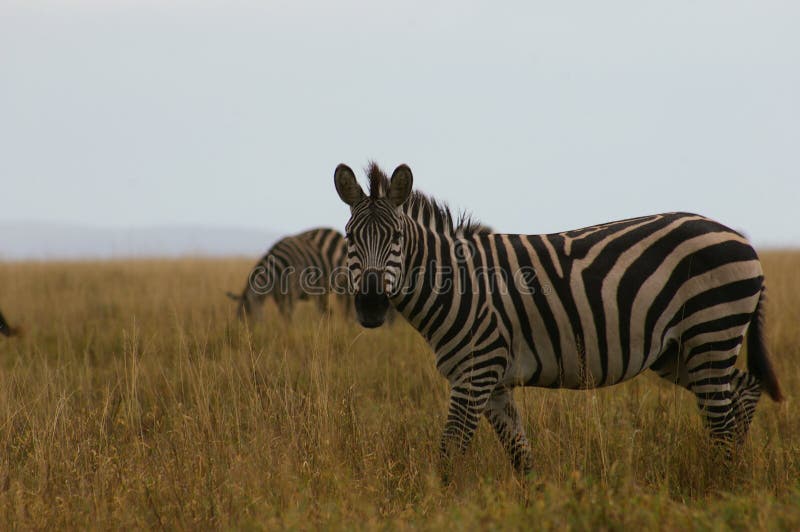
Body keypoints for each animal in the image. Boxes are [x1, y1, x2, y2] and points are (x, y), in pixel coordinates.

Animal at [334, 162, 783, 476]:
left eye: (396, 239)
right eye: (350, 238)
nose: (370, 306)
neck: (460, 284)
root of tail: (741, 238)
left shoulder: (475, 374)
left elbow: (449, 455)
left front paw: (439, 508)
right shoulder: (493, 382)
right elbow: (520, 456)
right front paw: (536, 506)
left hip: (710, 332)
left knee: (723, 420)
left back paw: (720, 482)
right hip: (680, 350)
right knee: (742, 391)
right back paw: (731, 474)